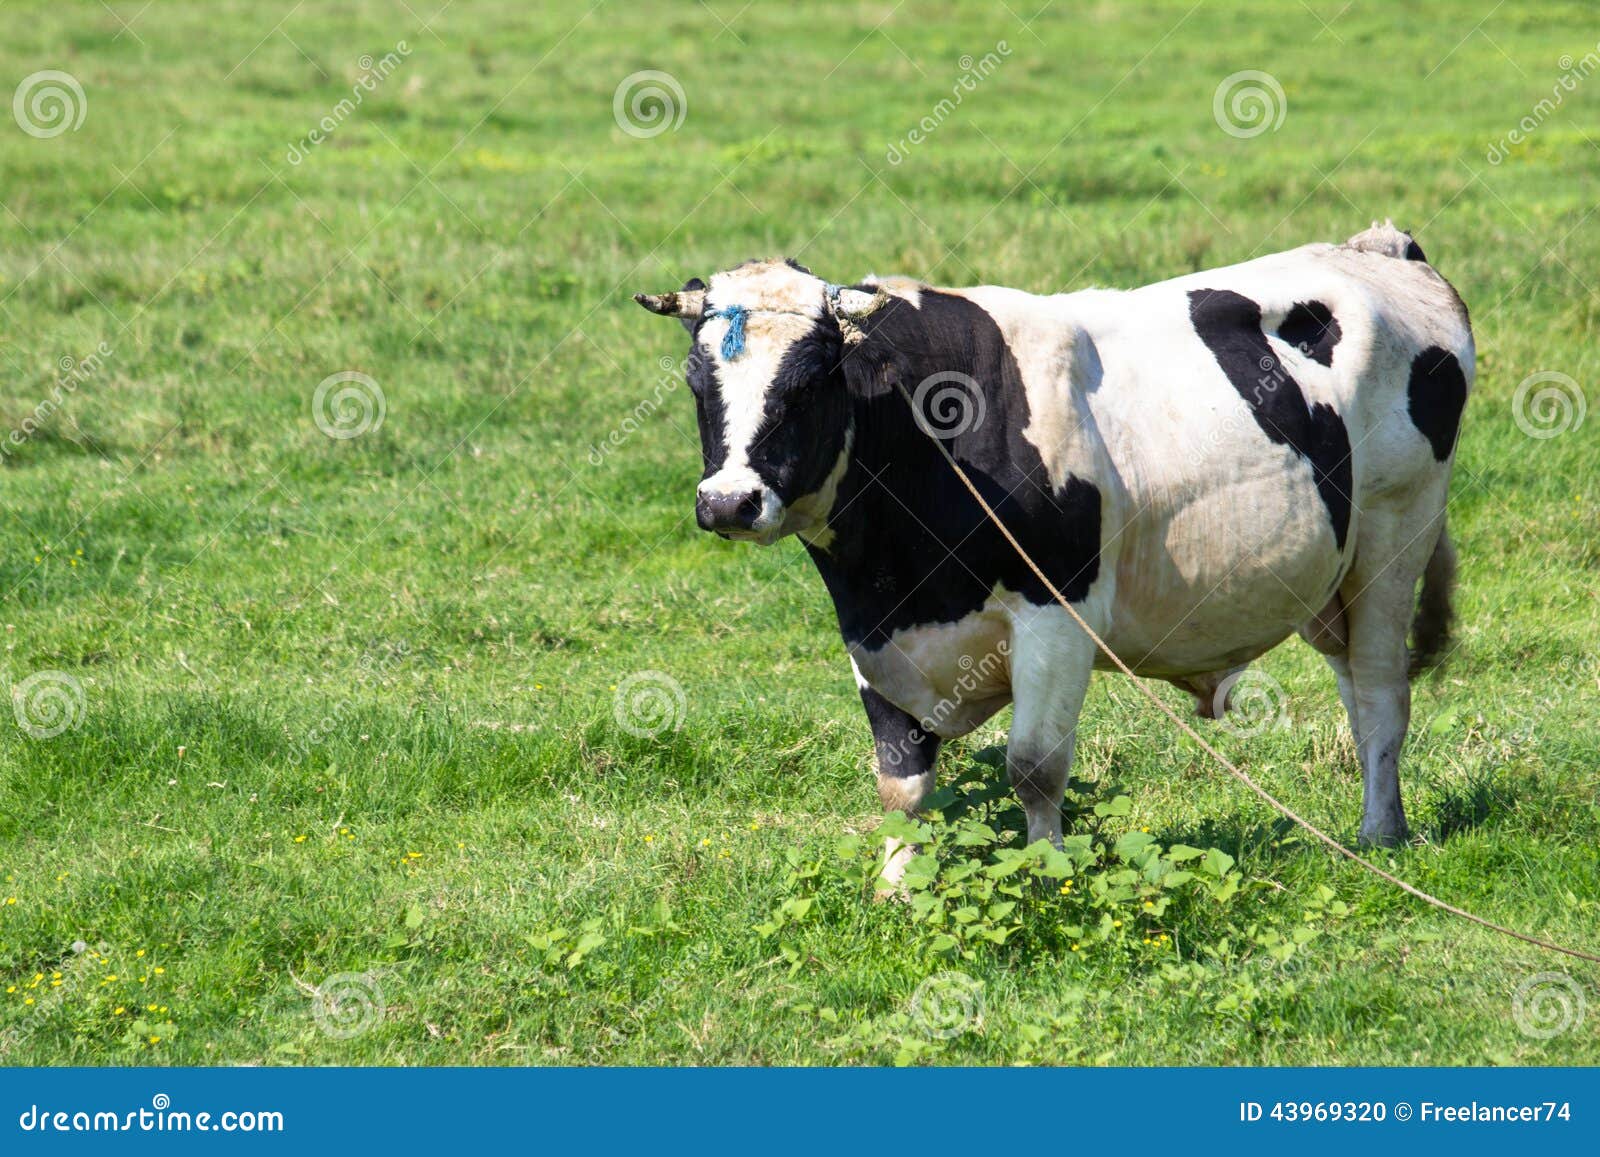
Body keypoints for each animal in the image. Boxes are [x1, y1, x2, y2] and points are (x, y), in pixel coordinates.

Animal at [634, 221, 1471, 880]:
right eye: (696, 383)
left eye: (810, 382)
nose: (729, 502)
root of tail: (1379, 247)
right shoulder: (872, 631)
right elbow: (900, 783)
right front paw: (896, 892)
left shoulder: (1056, 615)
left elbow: (1033, 768)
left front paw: (1045, 877)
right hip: (1332, 582)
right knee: (1355, 688)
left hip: (1394, 539)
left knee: (1380, 696)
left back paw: (1379, 834)